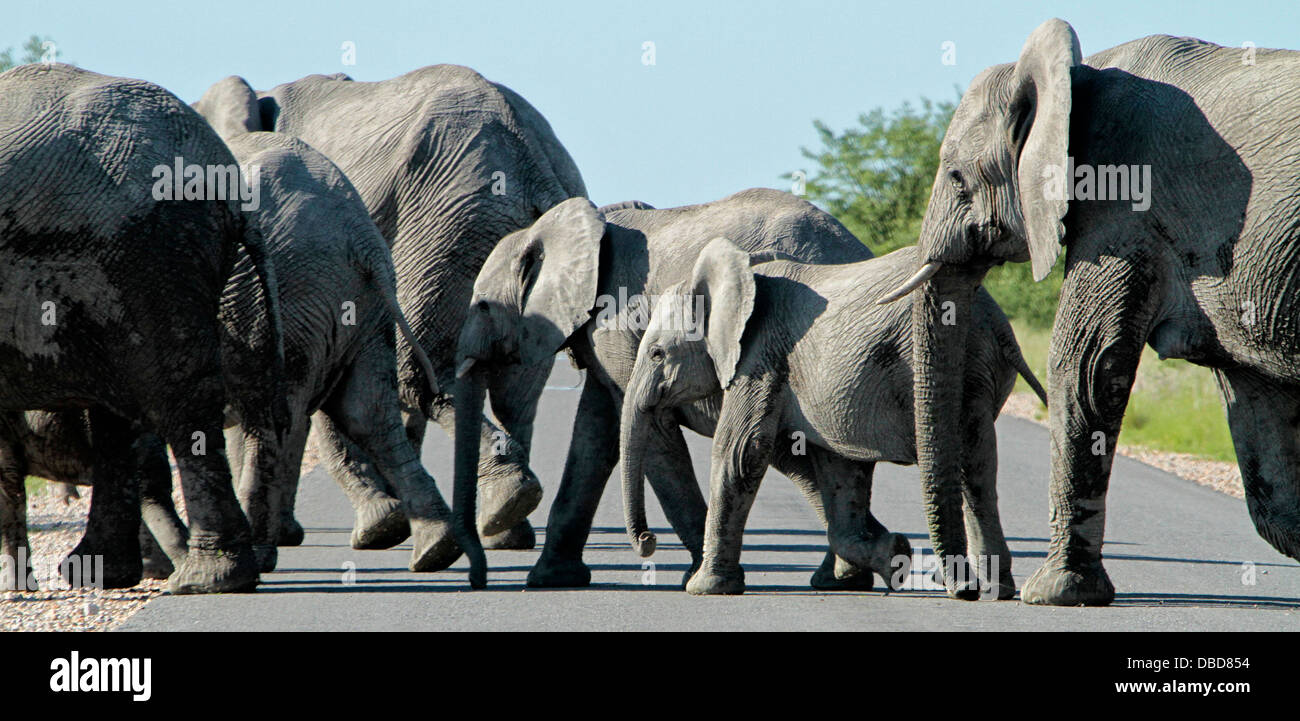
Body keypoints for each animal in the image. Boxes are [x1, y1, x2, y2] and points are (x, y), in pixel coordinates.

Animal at [0, 64, 287, 594]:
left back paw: (204, 581)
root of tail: (228, 184)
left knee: (180, 404)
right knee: (120, 419)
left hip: (146, 258)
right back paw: (101, 572)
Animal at [194, 67, 587, 552]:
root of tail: (533, 160)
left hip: (445, 227)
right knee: (516, 393)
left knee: (420, 377)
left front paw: (375, 531)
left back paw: (497, 509)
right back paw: (505, 526)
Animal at [452, 188, 888, 589]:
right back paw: (847, 574)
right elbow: (595, 437)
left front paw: (694, 576)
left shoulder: (617, 325)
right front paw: (551, 579)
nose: (647, 541)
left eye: (483, 306)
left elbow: (653, 434)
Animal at [620, 238, 1045, 597]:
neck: (743, 276)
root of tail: (997, 320)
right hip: (975, 367)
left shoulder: (760, 353)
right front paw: (890, 556)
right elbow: (840, 470)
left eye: (657, 354)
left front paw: (706, 588)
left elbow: (741, 451)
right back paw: (994, 588)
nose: (647, 542)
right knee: (976, 465)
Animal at [875, 18, 1300, 605]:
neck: (1074, 77)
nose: (966, 590)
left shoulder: (1122, 201)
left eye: (958, 178)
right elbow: (1259, 412)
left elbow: (1084, 364)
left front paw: (1055, 593)